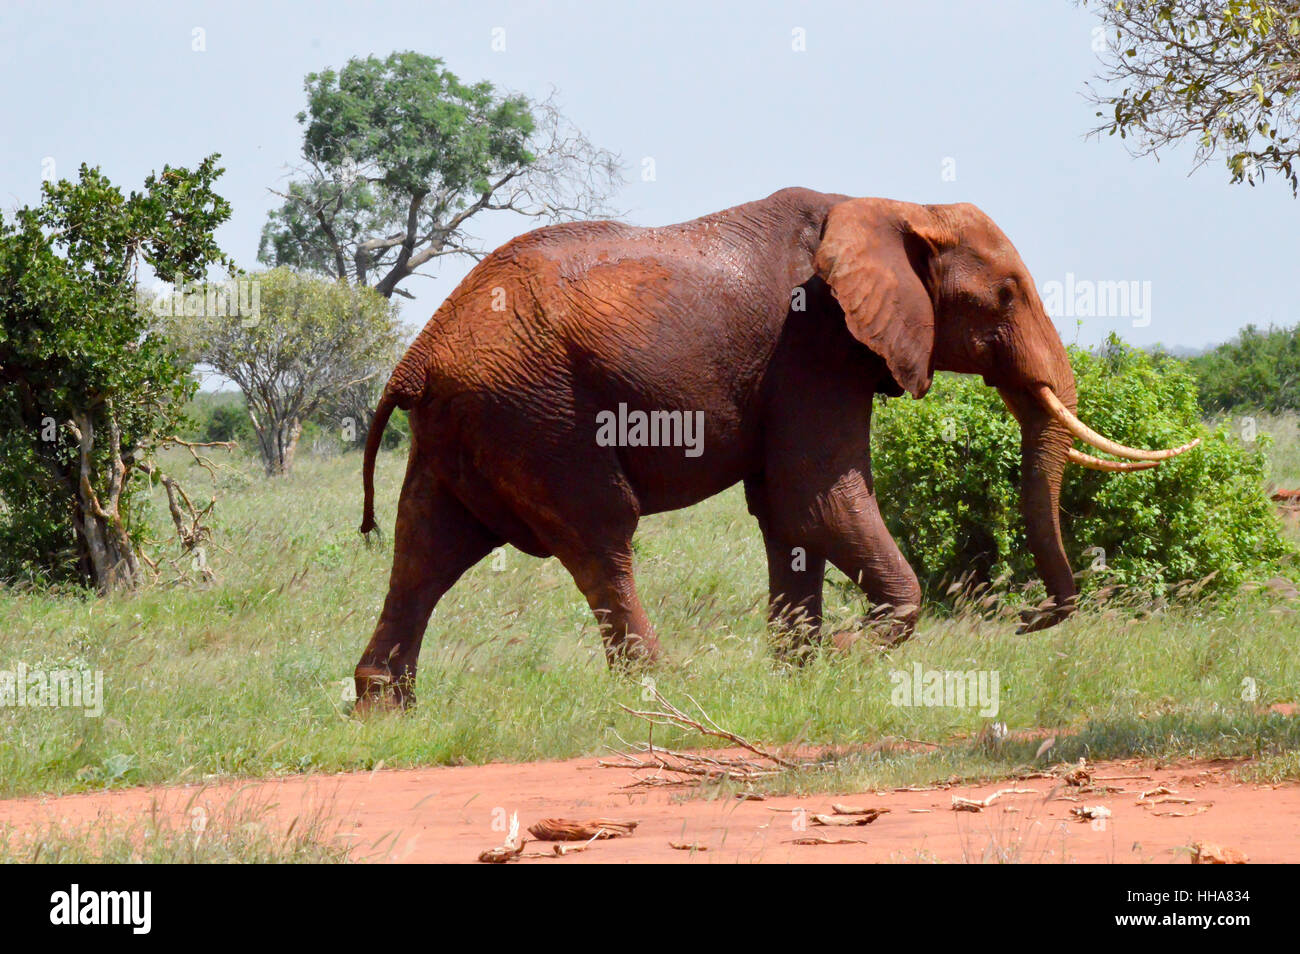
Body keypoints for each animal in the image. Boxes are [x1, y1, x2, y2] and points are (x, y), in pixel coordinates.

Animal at [353, 187, 1198, 711]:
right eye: (1008, 294)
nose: (1026, 620)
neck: (892, 204)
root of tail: (414, 360)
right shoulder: (815, 343)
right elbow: (815, 496)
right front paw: (846, 656)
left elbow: (789, 517)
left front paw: (799, 673)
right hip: (538, 413)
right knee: (600, 536)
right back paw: (657, 693)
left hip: (470, 424)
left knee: (425, 550)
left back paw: (383, 710)